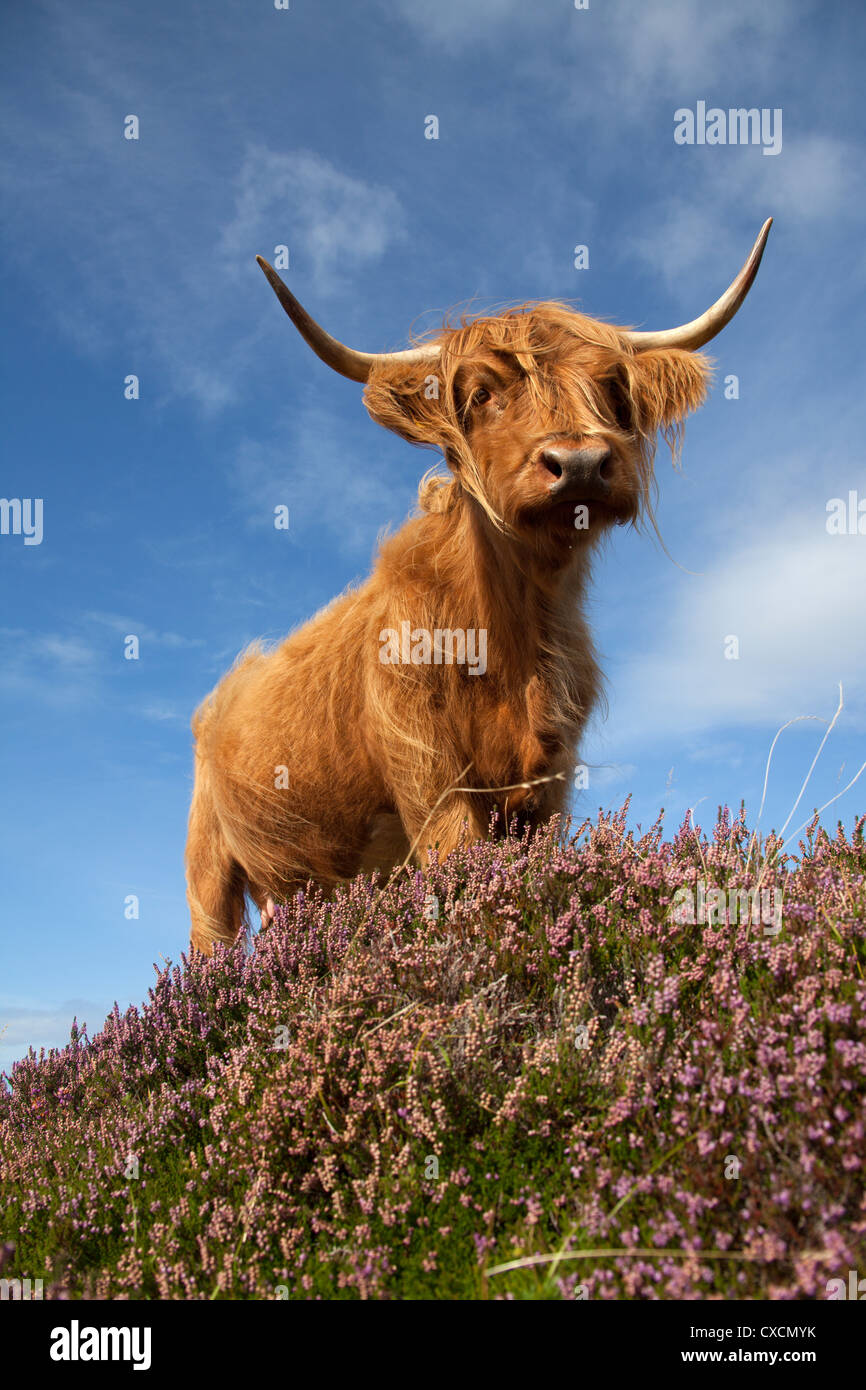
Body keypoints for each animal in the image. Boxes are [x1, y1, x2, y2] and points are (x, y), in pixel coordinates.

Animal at [185, 219, 772, 955]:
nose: (580, 463)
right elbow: (459, 874)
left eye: (612, 388)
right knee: (212, 948)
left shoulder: (550, 779)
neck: (514, 633)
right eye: (482, 394)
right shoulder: (426, 767)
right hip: (208, 871)